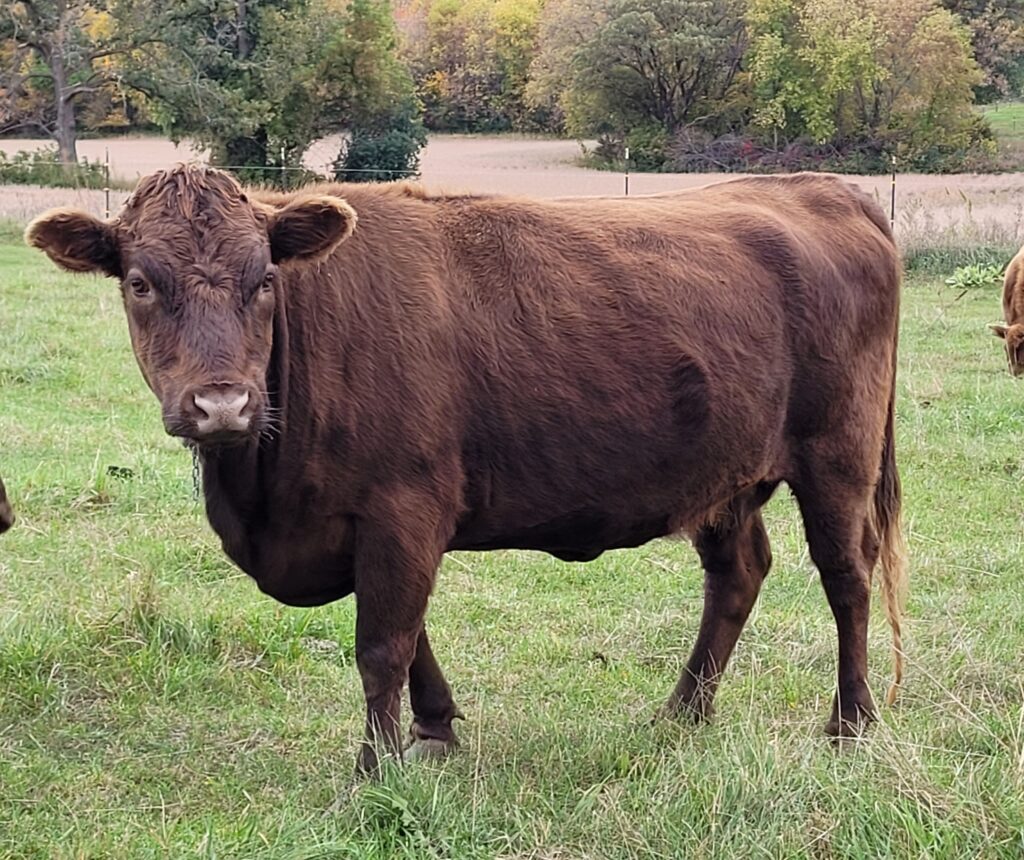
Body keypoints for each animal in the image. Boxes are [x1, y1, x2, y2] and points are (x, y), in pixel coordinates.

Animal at [27, 165, 906, 772]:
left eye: (265, 279)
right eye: (141, 283)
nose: (221, 404)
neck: (259, 495)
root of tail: (819, 187)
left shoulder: (402, 506)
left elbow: (382, 642)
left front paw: (374, 769)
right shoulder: (376, 523)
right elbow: (411, 634)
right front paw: (434, 729)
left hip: (837, 456)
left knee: (847, 577)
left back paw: (851, 722)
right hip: (724, 475)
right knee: (739, 575)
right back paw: (683, 713)